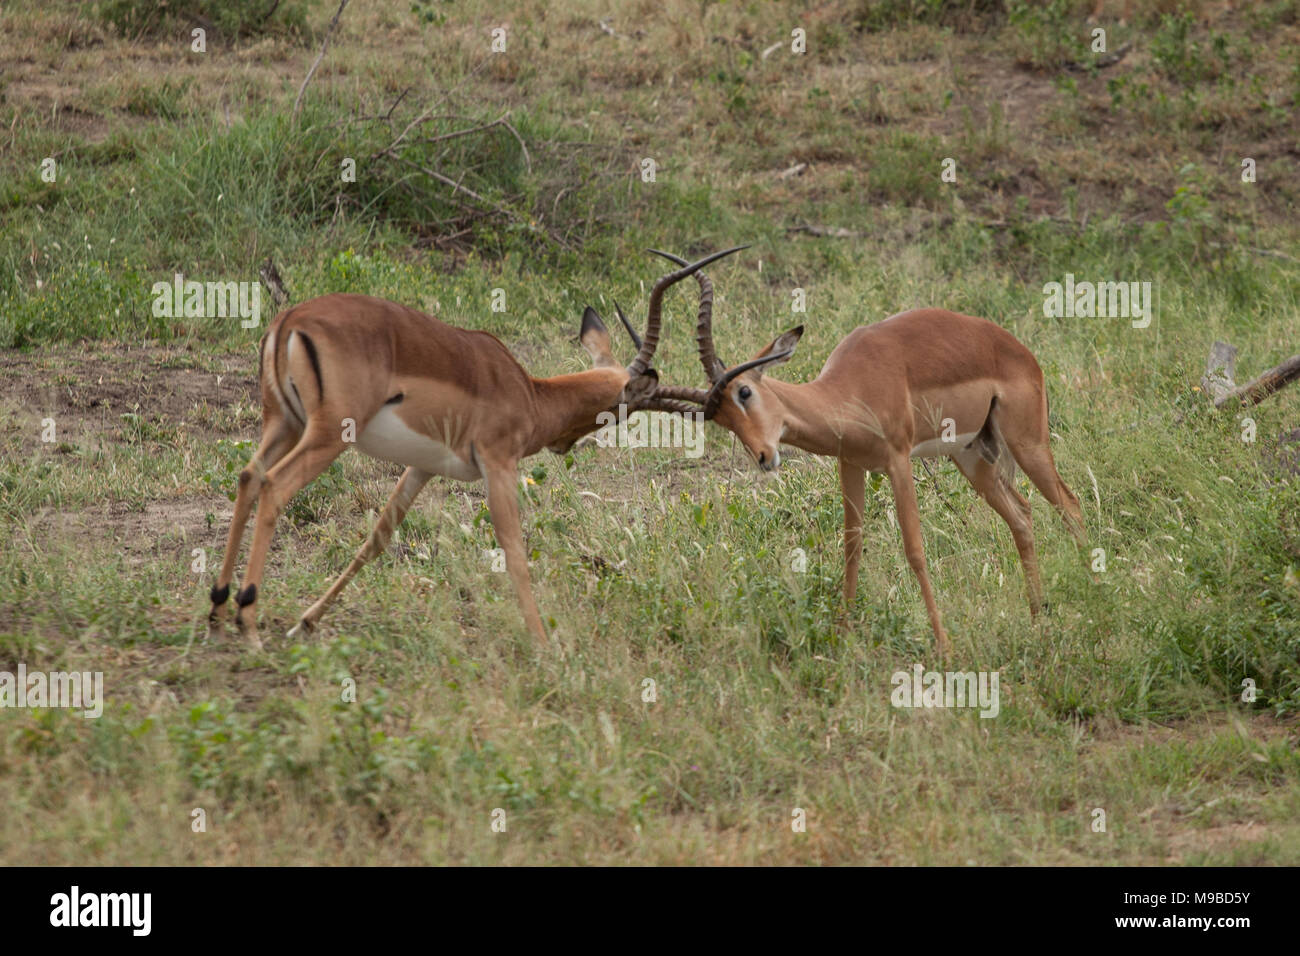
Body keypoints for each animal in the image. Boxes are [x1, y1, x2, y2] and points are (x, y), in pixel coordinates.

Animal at [207, 248, 740, 648]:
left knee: (248, 477)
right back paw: (248, 623)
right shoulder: (498, 464)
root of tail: (291, 318)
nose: (565, 446)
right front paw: (545, 644)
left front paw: (306, 621)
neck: (529, 394)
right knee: (274, 486)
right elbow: (514, 549)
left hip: (285, 424)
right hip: (327, 434)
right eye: (633, 407)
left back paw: (217, 607)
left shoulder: (423, 468)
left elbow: (377, 537)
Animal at [652, 250, 1086, 656]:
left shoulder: (898, 461)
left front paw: (944, 645)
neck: (851, 387)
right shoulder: (851, 465)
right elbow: (852, 546)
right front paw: (844, 638)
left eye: (745, 391)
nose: (763, 457)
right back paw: (1037, 616)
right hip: (973, 457)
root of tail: (1020, 351)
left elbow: (914, 548)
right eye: (720, 419)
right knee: (1023, 516)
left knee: (1070, 503)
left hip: (1027, 443)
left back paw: (1091, 589)